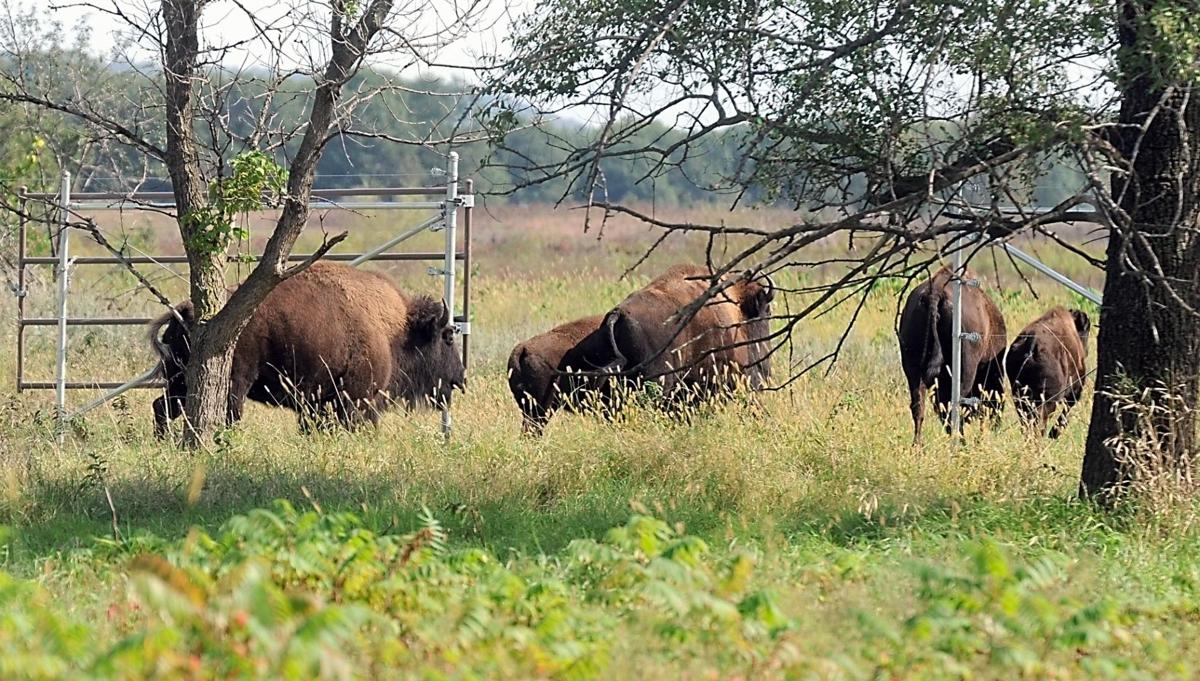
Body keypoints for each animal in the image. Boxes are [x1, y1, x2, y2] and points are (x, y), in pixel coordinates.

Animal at [149, 262, 464, 435]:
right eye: (448, 336)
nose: (460, 378)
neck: (396, 329)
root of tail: (185, 310)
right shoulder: (358, 399)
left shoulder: (319, 401)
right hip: (233, 381)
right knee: (227, 413)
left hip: (180, 381)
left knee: (162, 407)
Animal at [898, 266, 1008, 442]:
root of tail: (935, 292)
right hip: (963, 371)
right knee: (953, 407)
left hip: (912, 368)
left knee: (919, 406)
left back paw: (918, 445)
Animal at [1005, 306, 1090, 438]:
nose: (1087, 351)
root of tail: (1032, 343)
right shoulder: (1075, 389)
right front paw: (1054, 433)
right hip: (1046, 401)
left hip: (1020, 396)